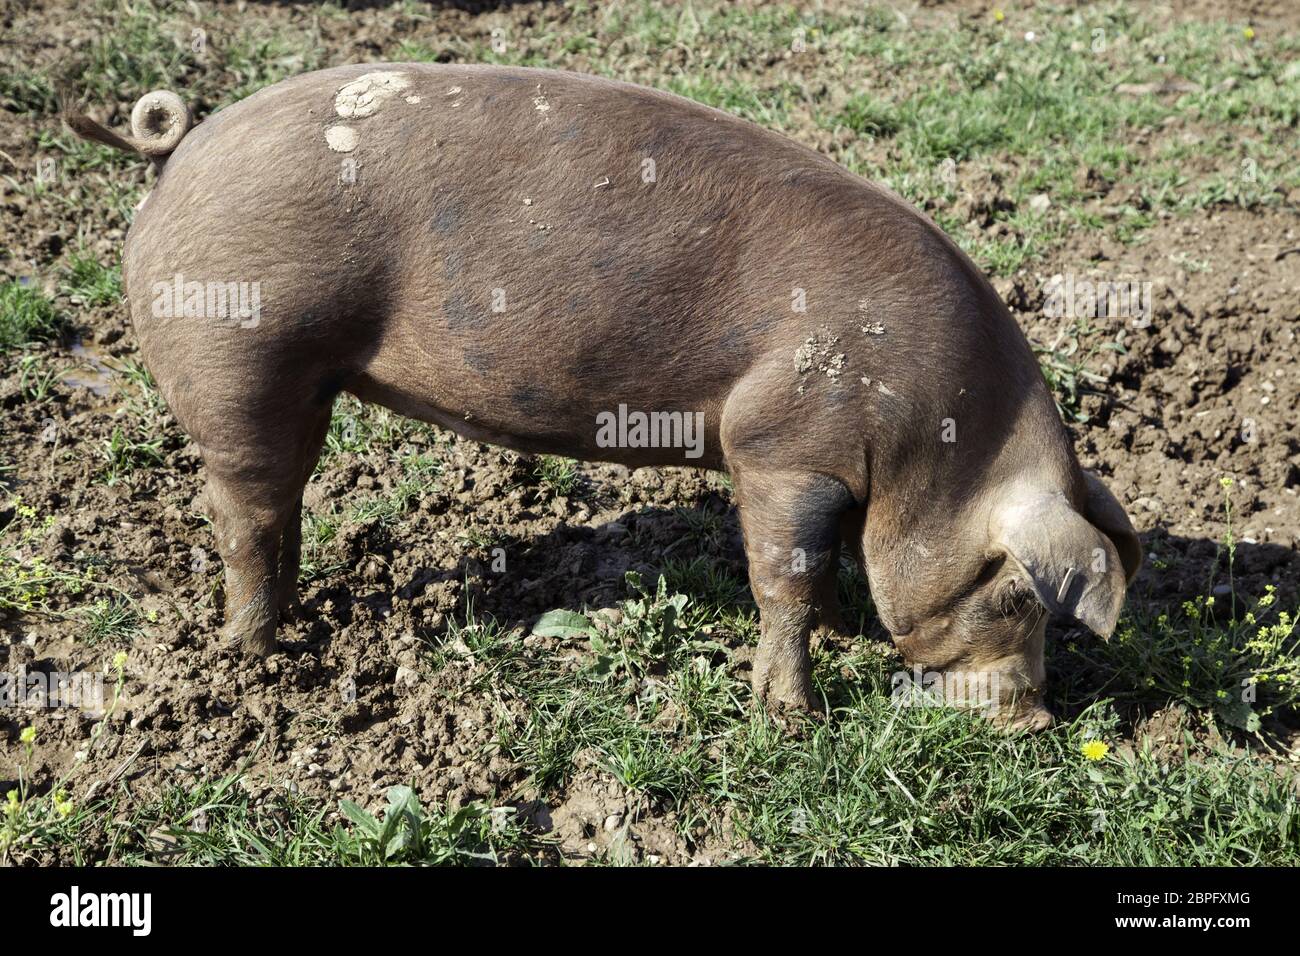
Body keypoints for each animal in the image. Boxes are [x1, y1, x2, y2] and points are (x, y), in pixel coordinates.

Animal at [65, 64, 1141, 729]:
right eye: (1016, 592)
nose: (1037, 723)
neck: (936, 437)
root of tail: (177, 149)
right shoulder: (781, 444)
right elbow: (783, 578)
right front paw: (792, 713)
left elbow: (819, 567)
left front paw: (839, 634)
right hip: (238, 357)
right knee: (244, 512)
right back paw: (254, 654)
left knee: (279, 502)